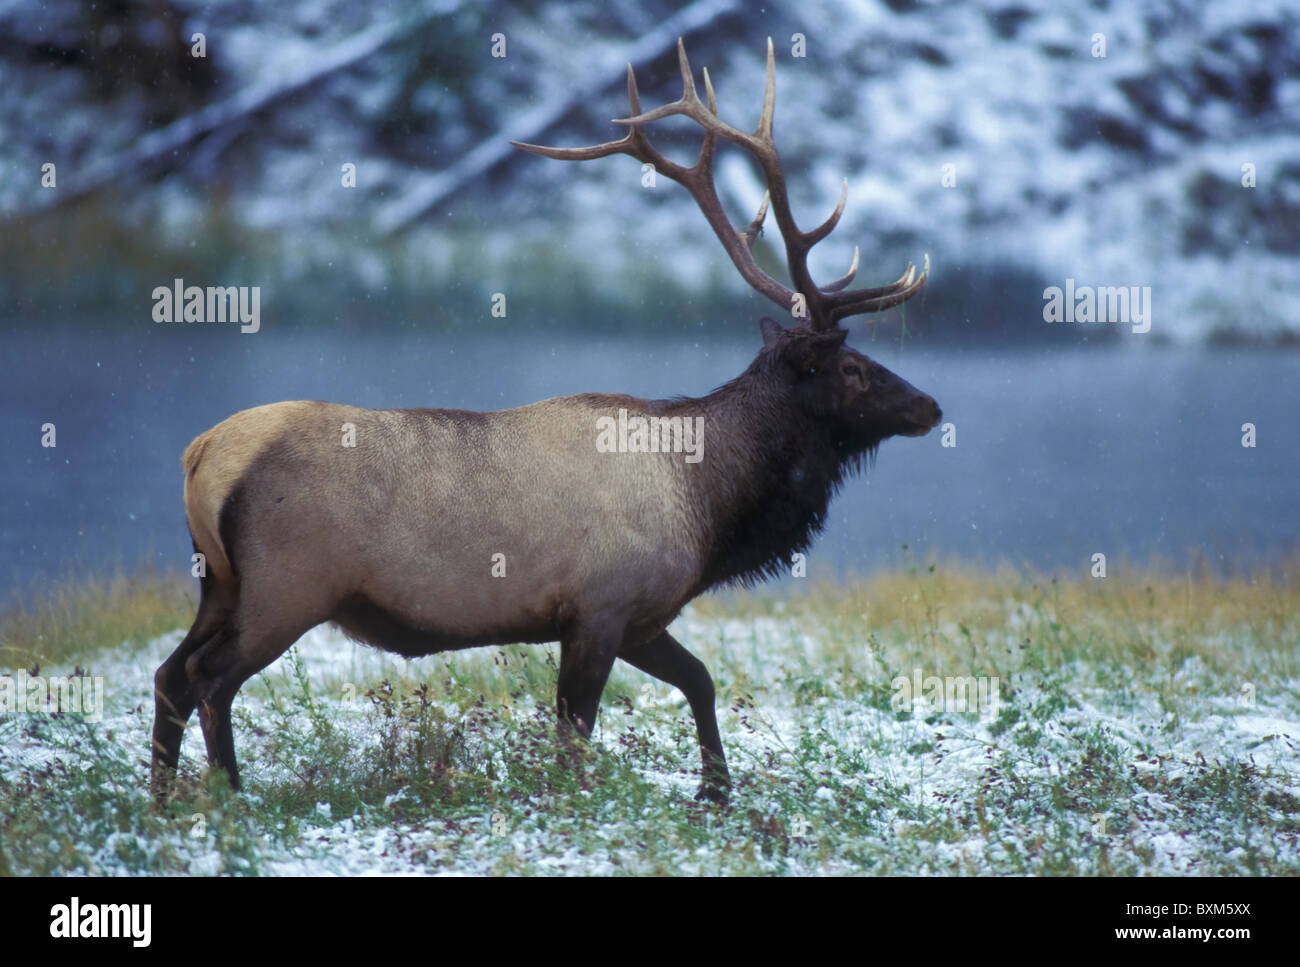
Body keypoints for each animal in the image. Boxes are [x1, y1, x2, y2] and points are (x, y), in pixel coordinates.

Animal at [151, 37, 941, 806]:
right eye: (851, 367)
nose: (930, 406)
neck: (709, 507)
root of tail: (199, 453)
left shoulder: (640, 617)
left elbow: (699, 680)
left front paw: (716, 791)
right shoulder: (600, 606)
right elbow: (575, 732)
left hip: (218, 583)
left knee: (169, 675)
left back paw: (161, 797)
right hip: (288, 588)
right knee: (210, 679)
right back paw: (229, 796)